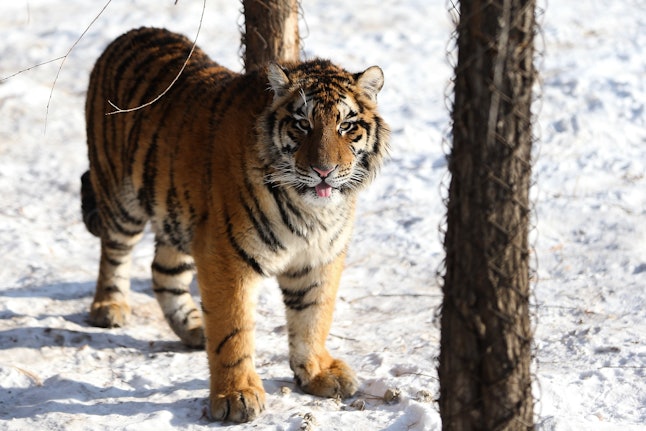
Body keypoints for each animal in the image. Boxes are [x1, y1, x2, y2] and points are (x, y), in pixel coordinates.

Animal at [81, 27, 389, 422]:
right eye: (302, 124)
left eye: (346, 125)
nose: (324, 170)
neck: (311, 211)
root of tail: (130, 34)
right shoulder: (227, 255)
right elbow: (234, 330)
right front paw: (236, 396)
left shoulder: (318, 258)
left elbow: (313, 317)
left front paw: (317, 372)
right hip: (122, 199)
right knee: (114, 250)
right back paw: (109, 307)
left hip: (181, 215)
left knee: (163, 270)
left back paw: (193, 326)